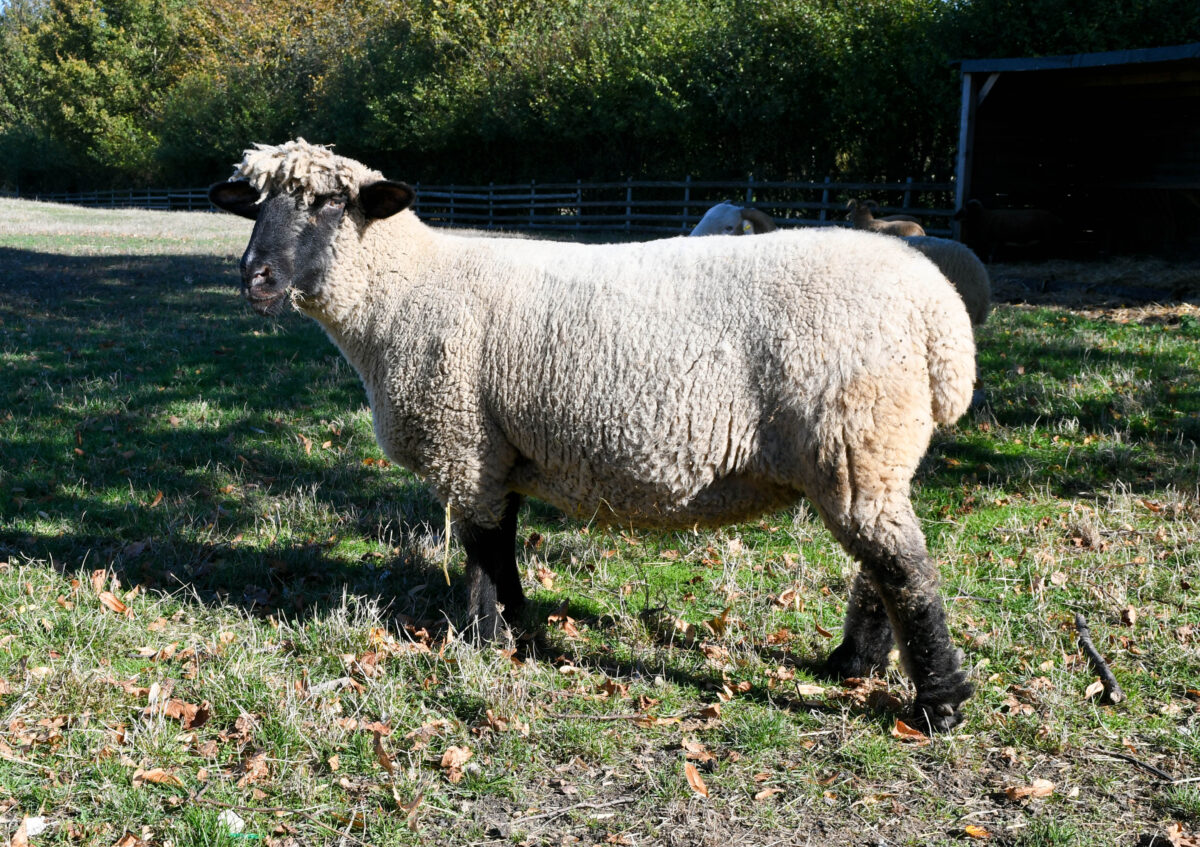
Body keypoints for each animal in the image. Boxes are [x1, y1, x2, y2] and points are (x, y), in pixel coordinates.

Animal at [208, 139, 978, 731]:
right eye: (255, 204)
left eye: (330, 204)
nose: (256, 278)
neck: (408, 295)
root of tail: (938, 313)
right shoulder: (496, 447)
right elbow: (501, 541)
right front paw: (514, 628)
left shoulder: (465, 442)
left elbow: (483, 549)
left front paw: (486, 637)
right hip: (871, 450)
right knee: (880, 565)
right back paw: (853, 663)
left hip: (854, 436)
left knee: (905, 570)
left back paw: (938, 704)